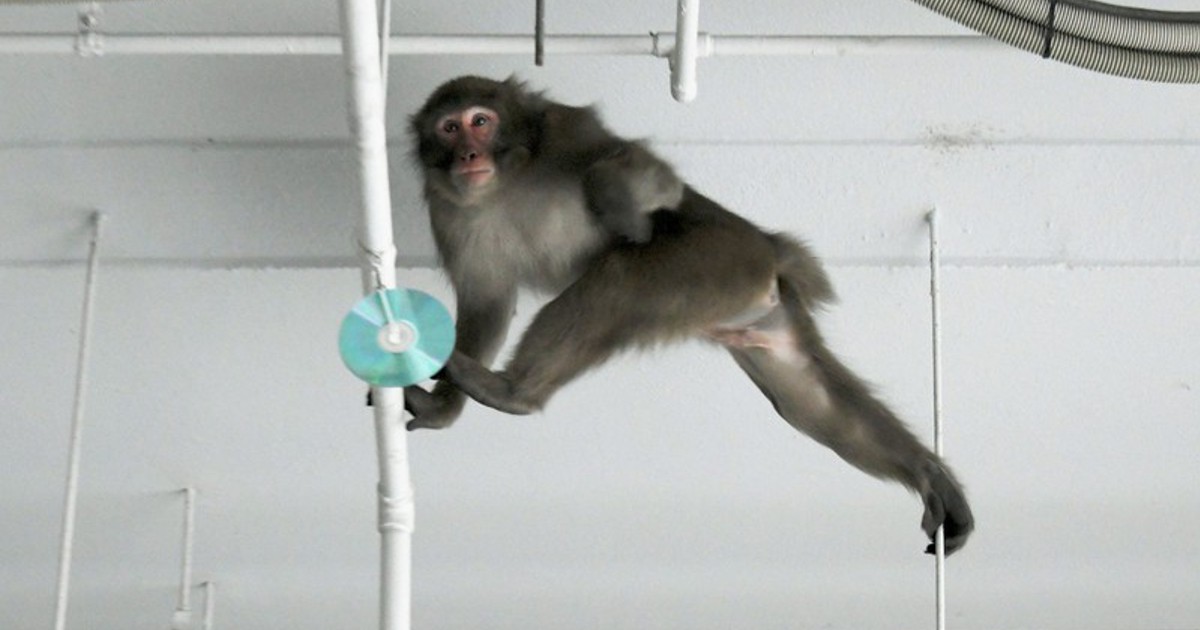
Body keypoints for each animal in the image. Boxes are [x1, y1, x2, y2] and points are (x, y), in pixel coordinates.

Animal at [406, 76, 974, 555]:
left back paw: (513, 392)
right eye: (448, 128)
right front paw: (443, 410)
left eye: (481, 121)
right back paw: (928, 473)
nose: (468, 154)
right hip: (748, 305)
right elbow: (485, 304)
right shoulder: (450, 211)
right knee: (806, 393)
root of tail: (771, 251)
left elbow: (644, 175)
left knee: (622, 277)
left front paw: (620, 202)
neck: (505, 185)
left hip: (720, 259)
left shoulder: (564, 134)